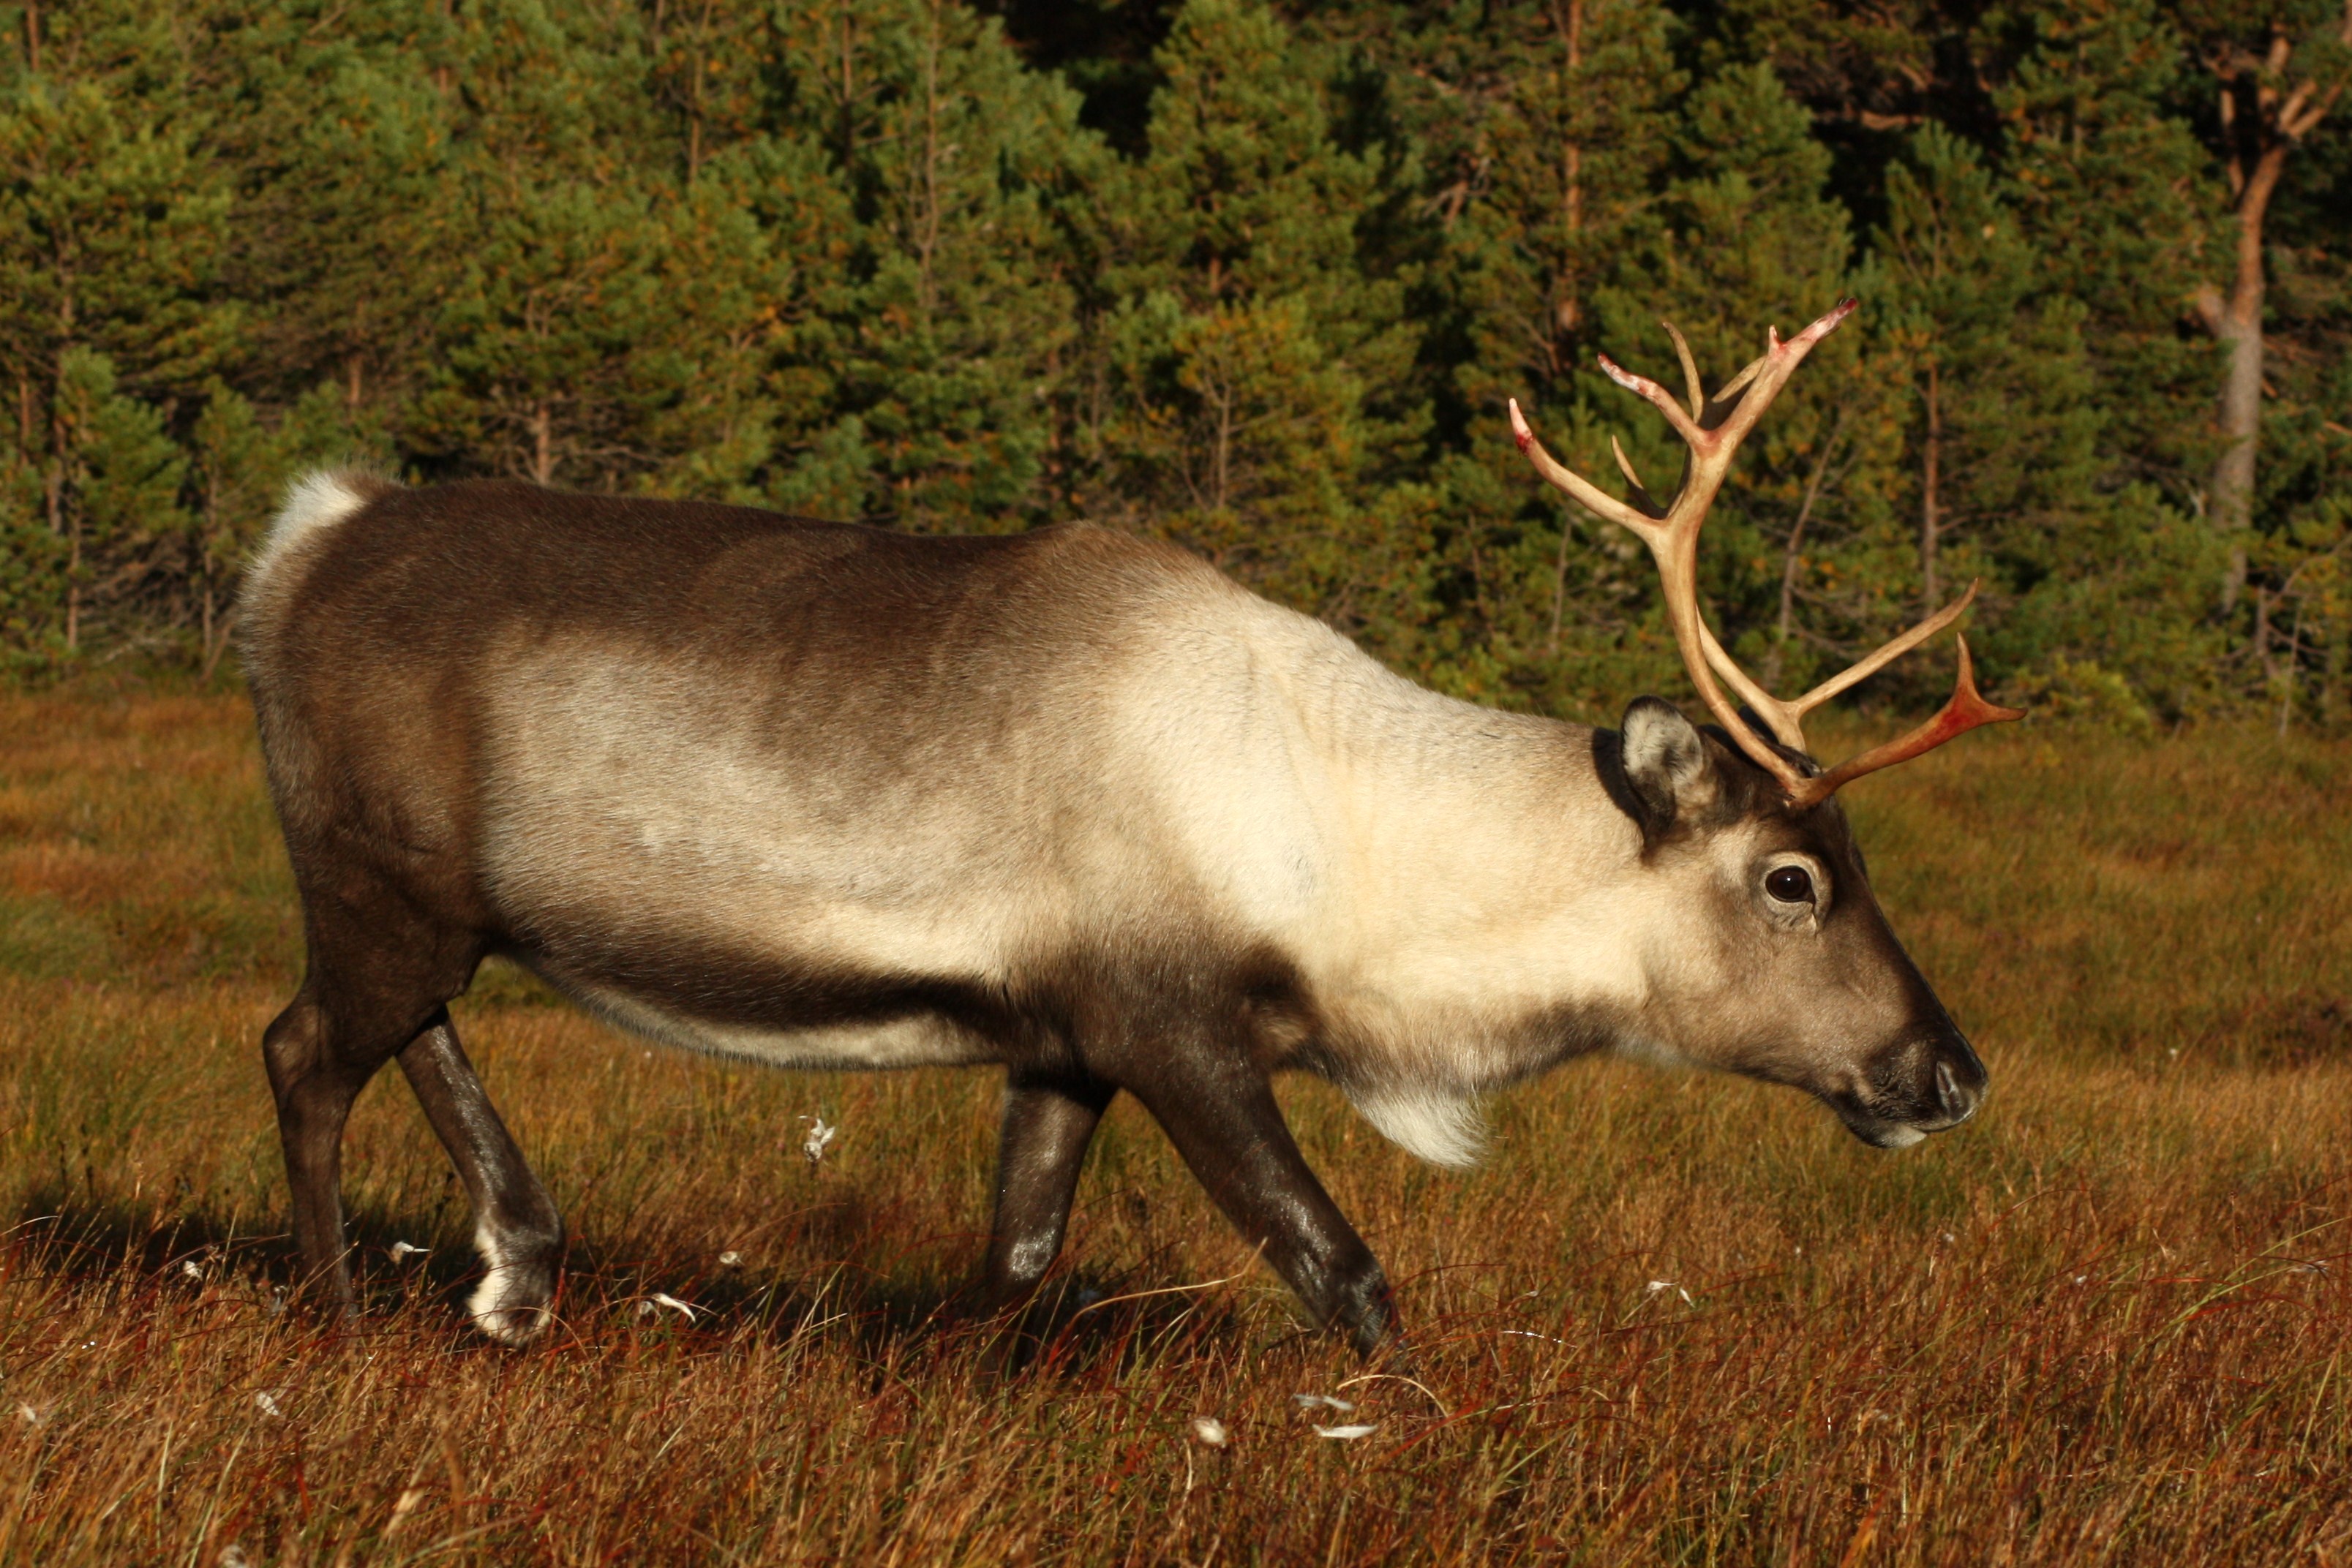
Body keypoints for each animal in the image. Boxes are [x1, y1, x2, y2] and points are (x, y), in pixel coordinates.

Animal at [240, 298, 2015, 1356]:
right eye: (1791, 876)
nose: (1949, 1070)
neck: (1358, 867)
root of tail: (299, 541)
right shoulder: (1172, 1022)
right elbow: (1341, 1266)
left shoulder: (1058, 1041)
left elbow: (1014, 1263)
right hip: (373, 879)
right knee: (302, 1047)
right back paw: (340, 1317)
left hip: (428, 901)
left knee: (399, 1031)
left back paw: (516, 1266)